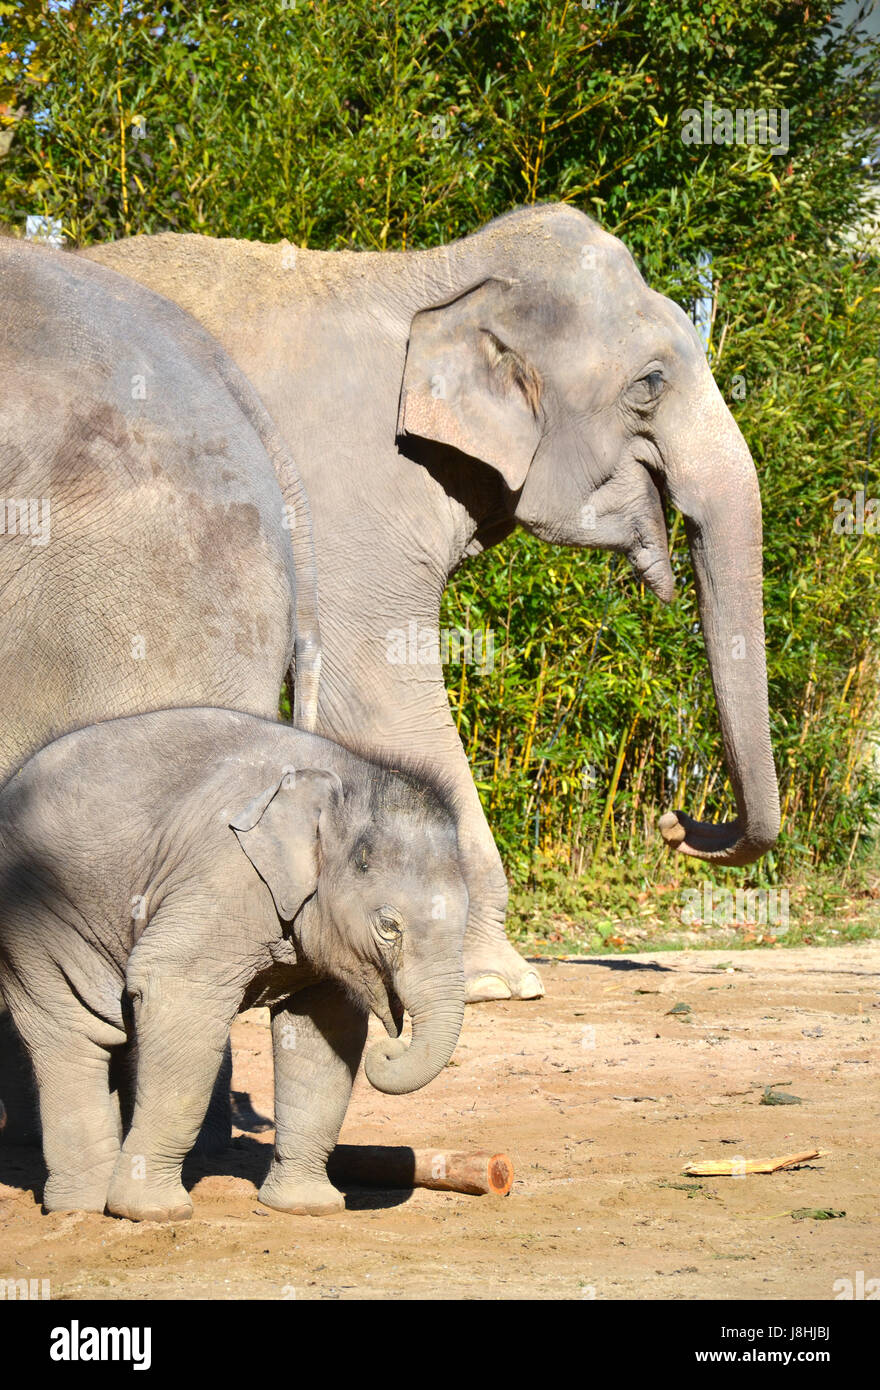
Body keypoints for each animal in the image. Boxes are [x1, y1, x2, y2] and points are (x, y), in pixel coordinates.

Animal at [0, 706, 468, 1221]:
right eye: (389, 926)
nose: (389, 1050)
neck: (345, 778)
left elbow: (324, 1033)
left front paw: (308, 1208)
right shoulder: (223, 876)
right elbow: (172, 989)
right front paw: (155, 1213)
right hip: (35, 921)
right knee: (77, 1039)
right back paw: (79, 1210)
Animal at [84, 201, 781, 1003]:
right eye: (651, 382)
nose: (675, 822)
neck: (436, 274)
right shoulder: (345, 497)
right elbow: (378, 684)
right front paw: (494, 980)